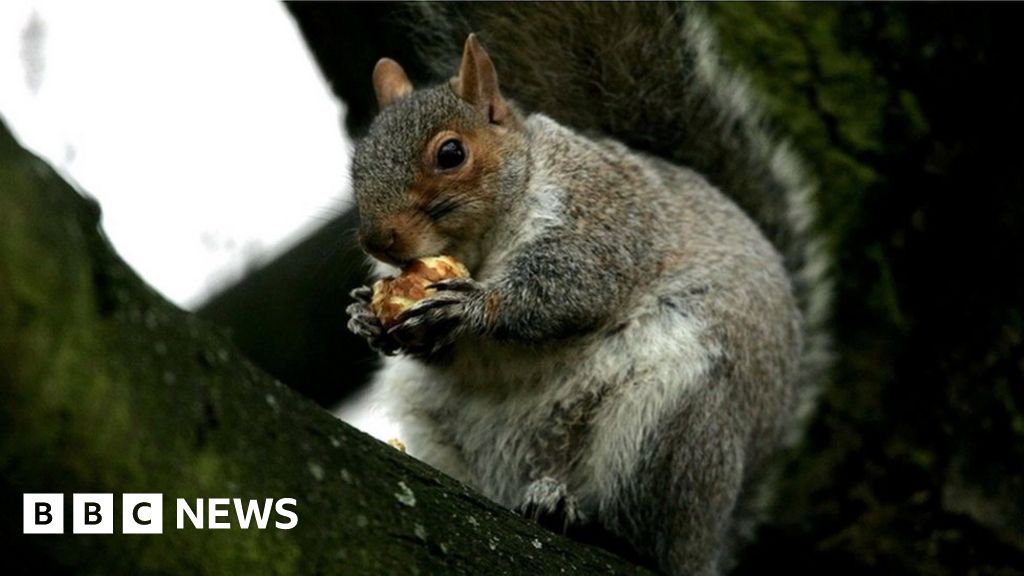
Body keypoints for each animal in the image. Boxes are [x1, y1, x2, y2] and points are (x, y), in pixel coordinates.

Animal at [345, 4, 831, 575]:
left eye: (450, 153)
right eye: (357, 164)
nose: (378, 239)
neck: (481, 245)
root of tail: (710, 543)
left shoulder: (600, 215)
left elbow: (567, 289)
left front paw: (470, 306)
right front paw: (364, 316)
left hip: (672, 427)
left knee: (644, 533)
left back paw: (575, 514)